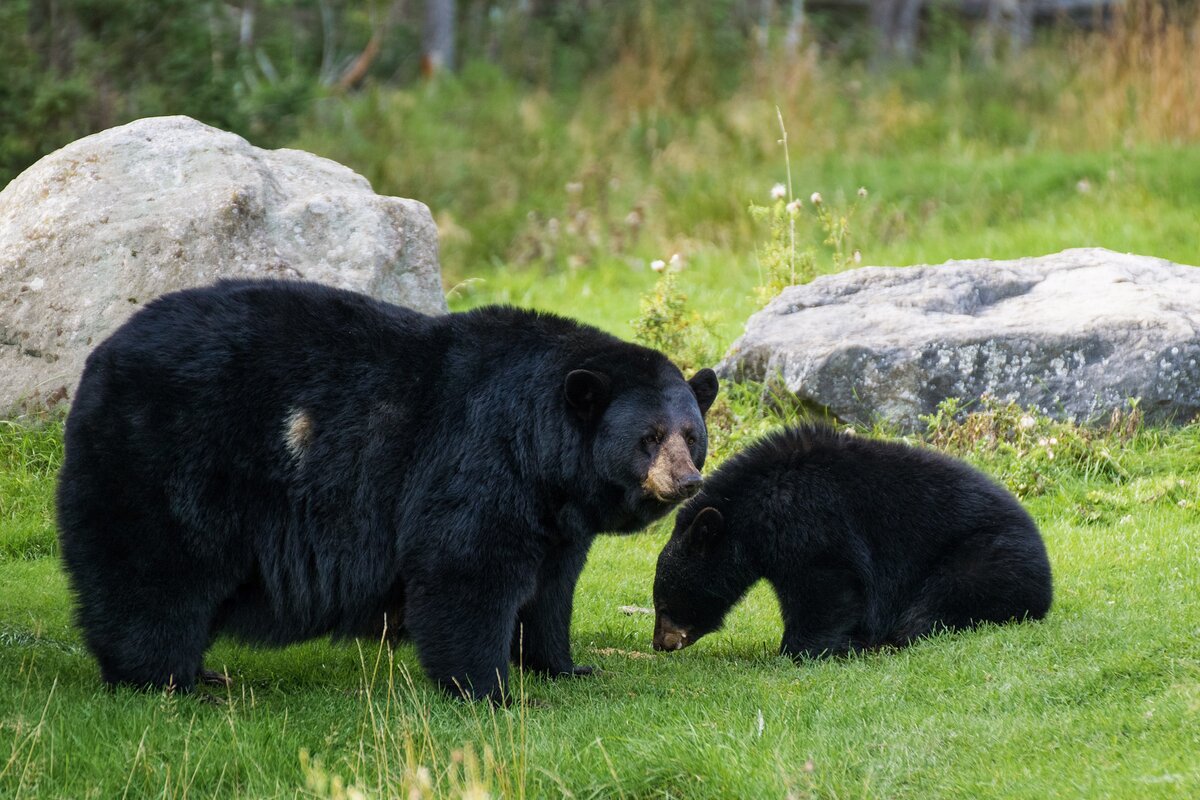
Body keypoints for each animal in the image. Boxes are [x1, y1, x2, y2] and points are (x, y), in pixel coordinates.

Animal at [60, 281, 715, 700]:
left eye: (691, 434)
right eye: (649, 438)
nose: (686, 480)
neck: (541, 448)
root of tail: (100, 358)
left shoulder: (553, 511)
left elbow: (550, 589)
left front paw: (564, 667)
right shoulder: (477, 456)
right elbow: (465, 568)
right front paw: (489, 689)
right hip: (169, 454)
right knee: (155, 573)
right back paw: (167, 679)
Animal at [652, 424, 1056, 657]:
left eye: (664, 602)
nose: (661, 644)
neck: (752, 509)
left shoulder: (810, 522)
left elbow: (828, 588)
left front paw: (801, 649)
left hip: (985, 557)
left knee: (940, 600)